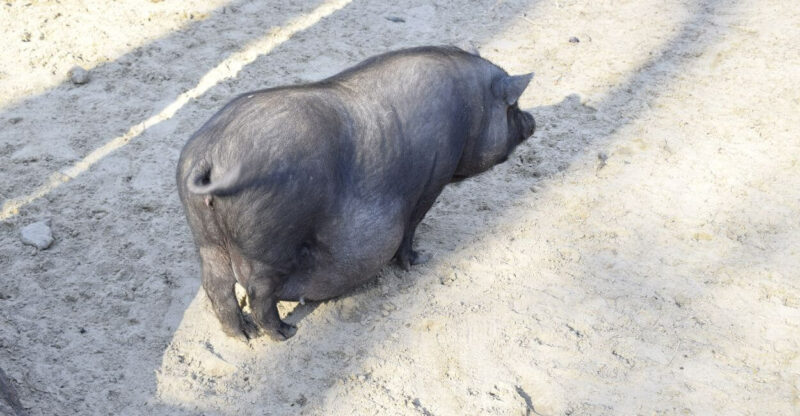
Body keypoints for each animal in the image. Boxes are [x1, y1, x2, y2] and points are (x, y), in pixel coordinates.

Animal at [177, 46, 535, 341]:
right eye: (512, 105)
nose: (532, 121)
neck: (471, 110)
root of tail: (210, 154)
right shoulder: (432, 181)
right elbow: (411, 227)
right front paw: (420, 259)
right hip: (266, 245)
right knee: (257, 293)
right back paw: (285, 333)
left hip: (206, 240)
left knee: (217, 288)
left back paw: (244, 335)